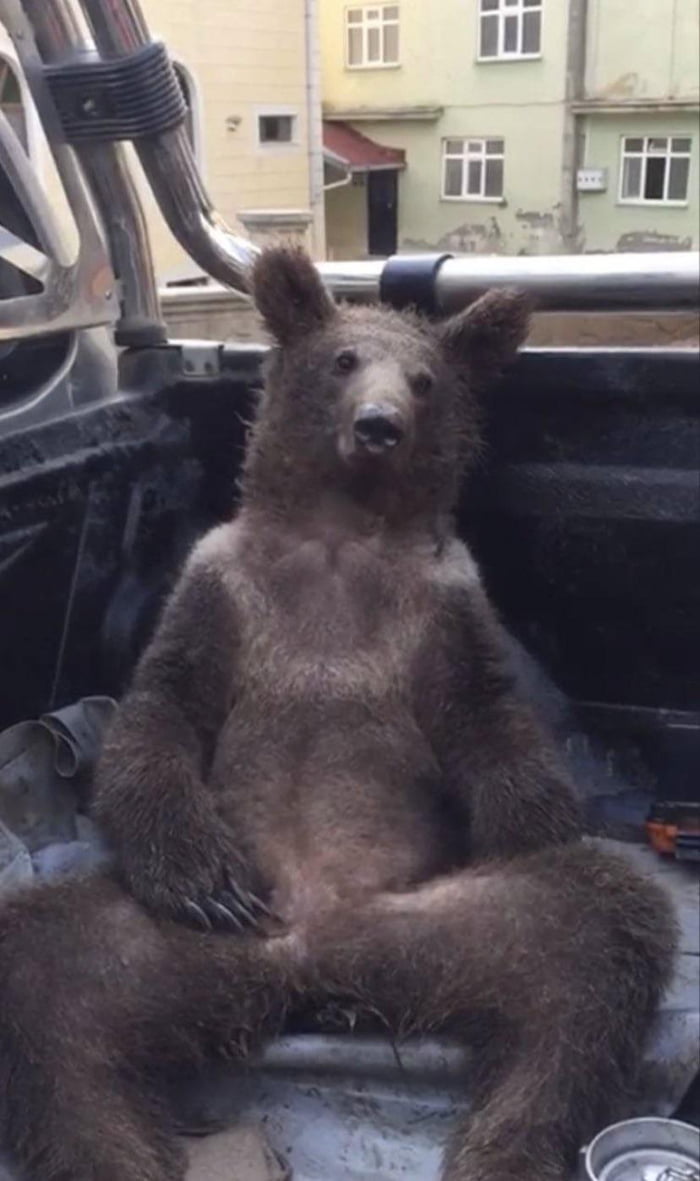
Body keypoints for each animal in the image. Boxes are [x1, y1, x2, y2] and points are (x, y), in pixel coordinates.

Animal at [0, 246, 675, 1181]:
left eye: (425, 379)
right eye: (344, 359)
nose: (380, 424)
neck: (338, 536)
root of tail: (314, 971)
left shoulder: (443, 608)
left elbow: (490, 723)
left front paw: (524, 827)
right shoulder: (219, 587)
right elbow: (162, 714)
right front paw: (205, 878)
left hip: (438, 929)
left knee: (590, 955)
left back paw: (504, 1147)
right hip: (170, 949)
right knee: (48, 984)